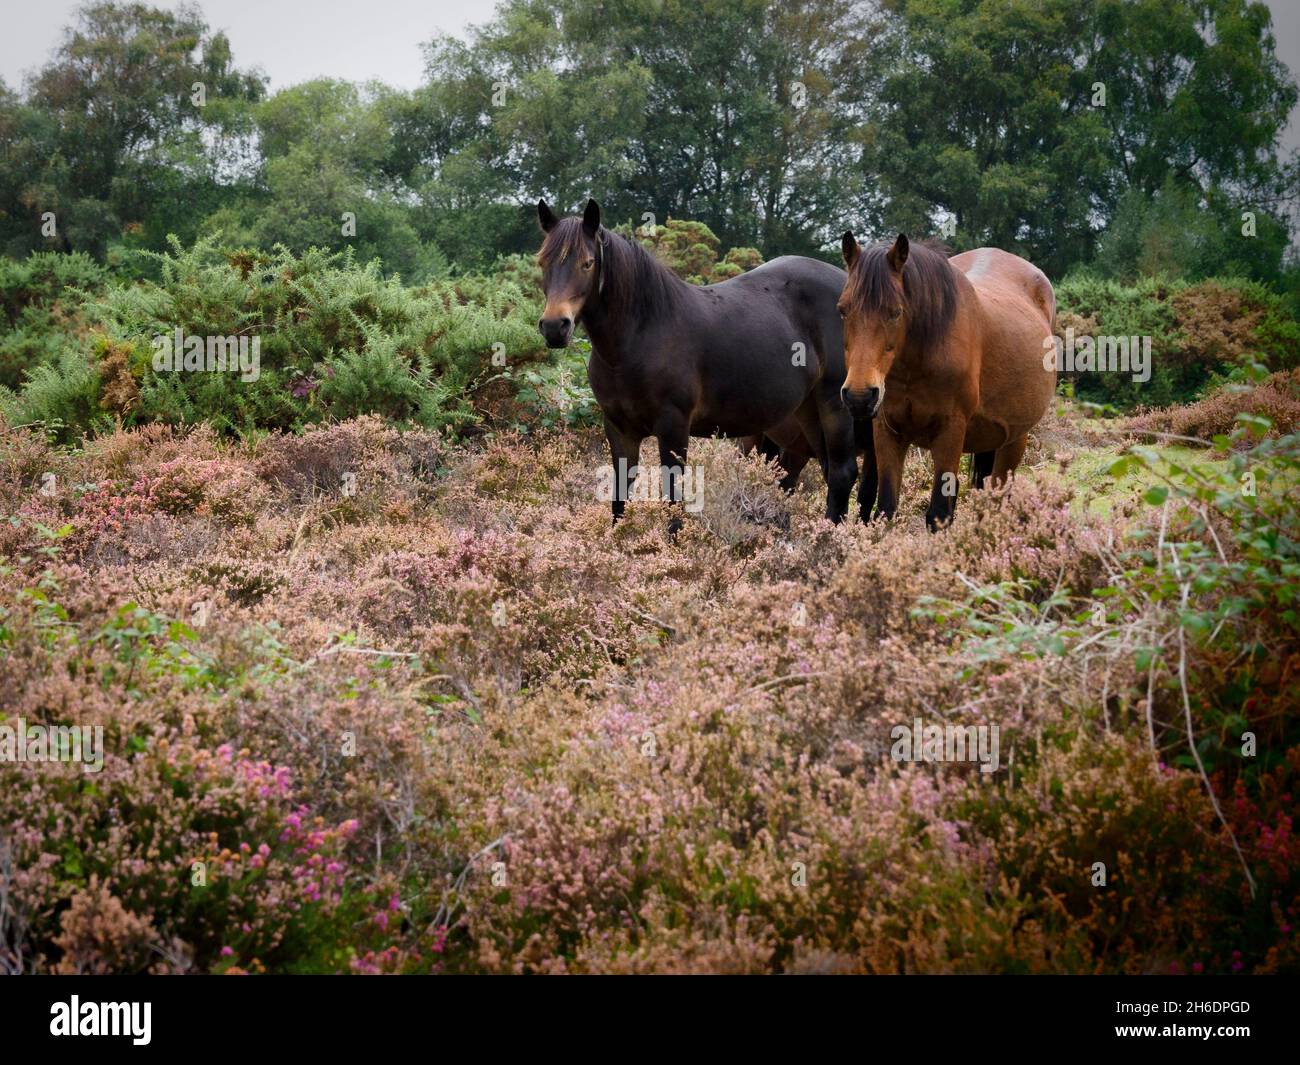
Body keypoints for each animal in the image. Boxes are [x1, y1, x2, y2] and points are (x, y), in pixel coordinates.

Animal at [537, 199, 872, 528]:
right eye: (543, 262)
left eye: (588, 262)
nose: (554, 327)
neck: (641, 334)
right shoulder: (619, 429)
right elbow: (620, 498)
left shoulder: (673, 426)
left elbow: (673, 499)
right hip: (807, 412)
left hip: (834, 404)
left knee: (842, 474)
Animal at [837, 233, 1056, 531]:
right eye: (843, 310)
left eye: (896, 312)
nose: (859, 396)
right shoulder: (887, 430)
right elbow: (886, 509)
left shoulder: (950, 431)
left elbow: (938, 514)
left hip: (1014, 440)